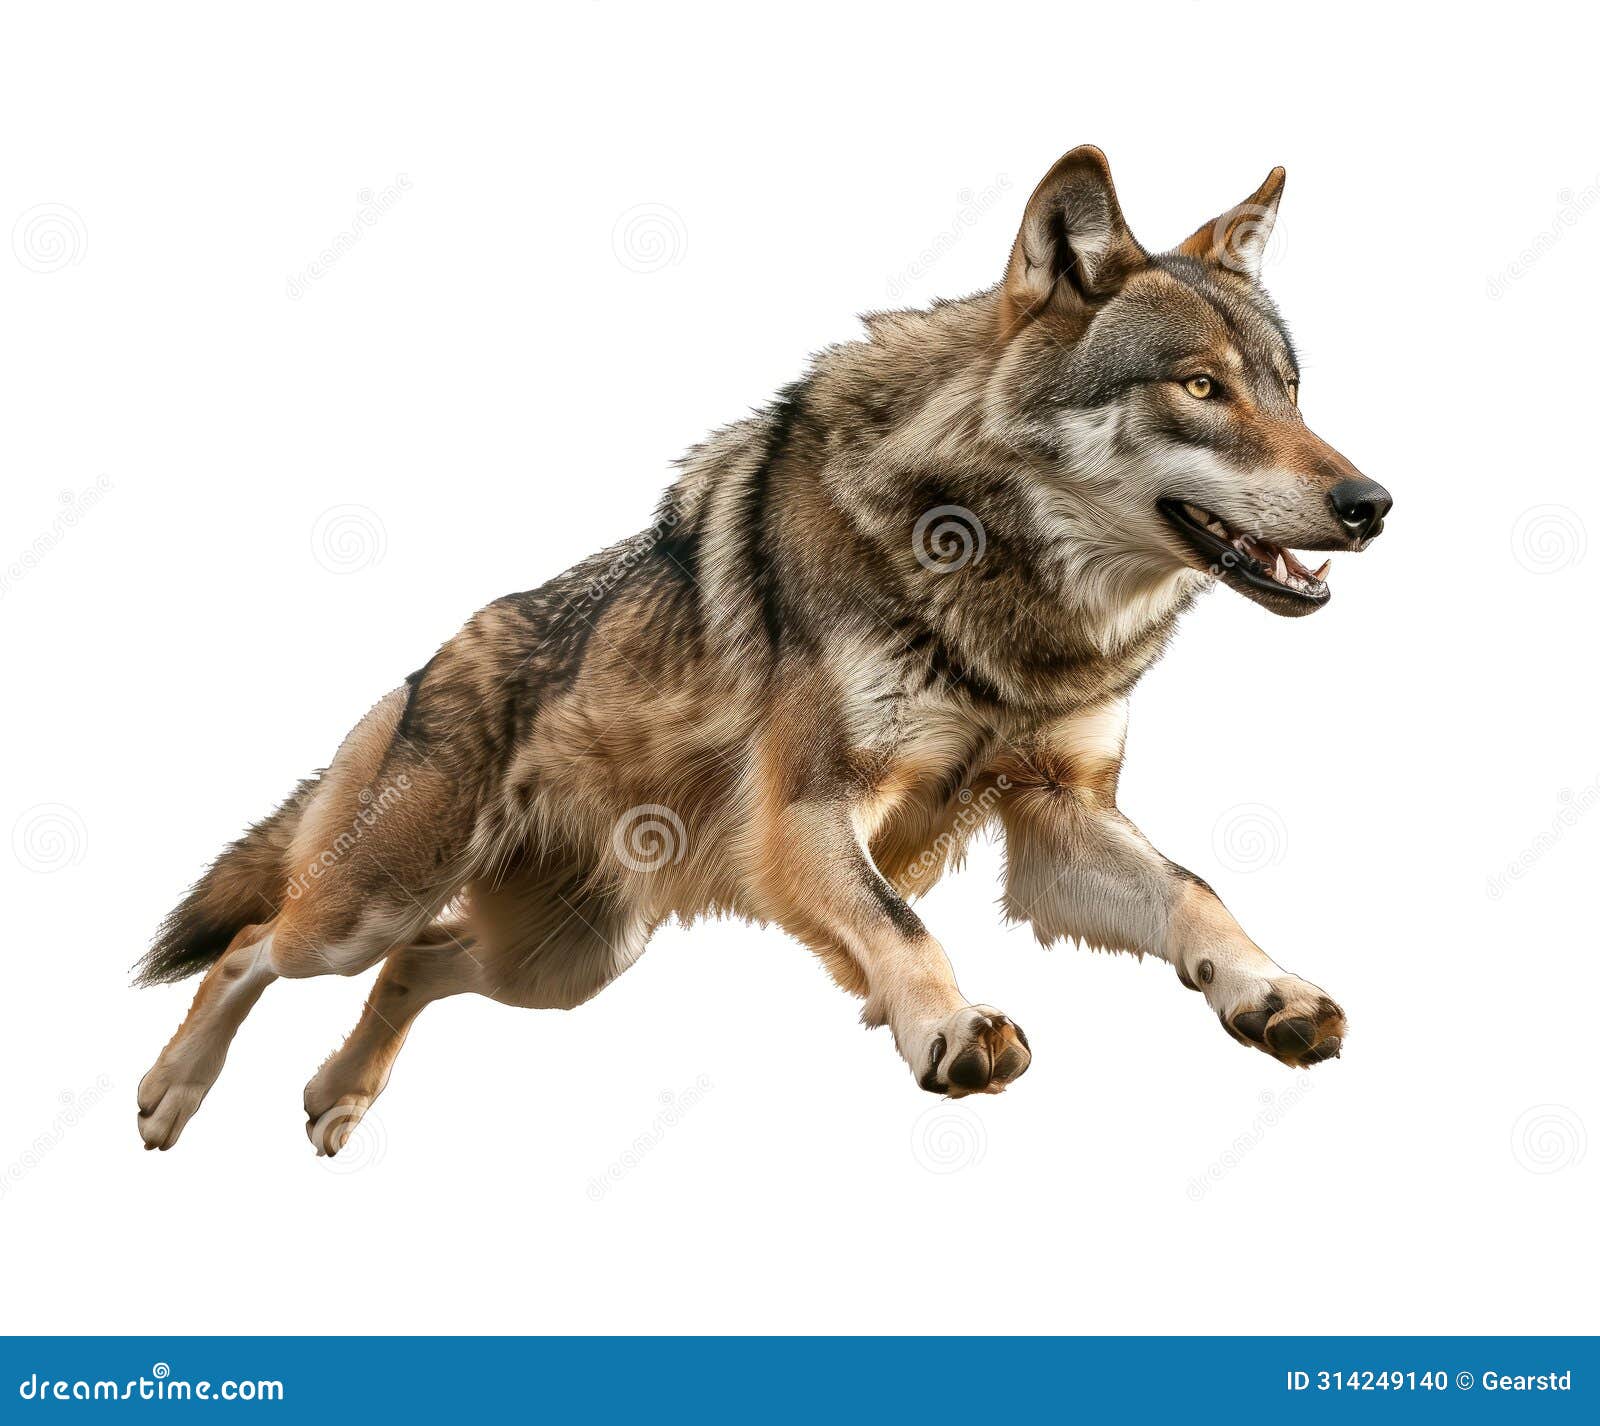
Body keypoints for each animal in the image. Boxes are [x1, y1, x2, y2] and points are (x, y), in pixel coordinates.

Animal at [135, 146, 1391, 1153]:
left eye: (1289, 390)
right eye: (1200, 387)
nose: (1371, 503)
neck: (1005, 596)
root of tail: (417, 671)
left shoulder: (1057, 810)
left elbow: (1195, 894)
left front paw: (1270, 991)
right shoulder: (806, 813)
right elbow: (903, 927)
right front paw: (947, 1027)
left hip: (569, 964)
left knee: (418, 966)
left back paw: (337, 1095)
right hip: (376, 909)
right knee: (252, 943)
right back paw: (168, 1093)